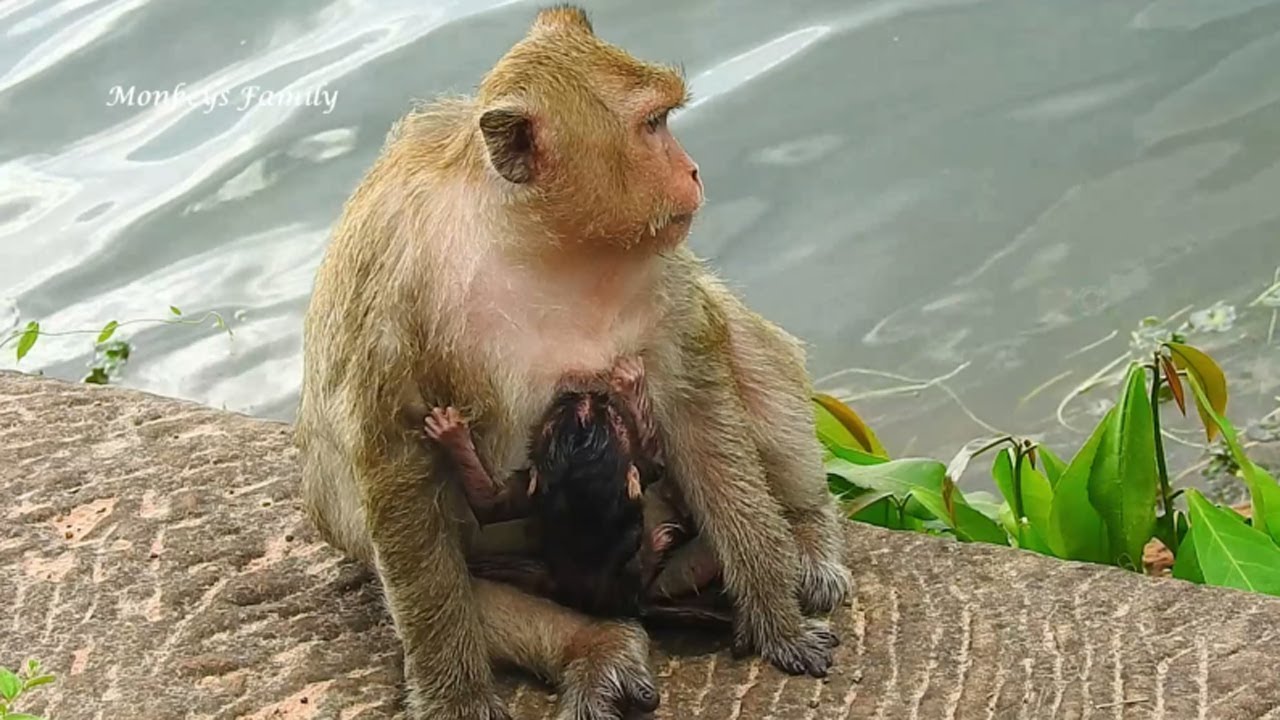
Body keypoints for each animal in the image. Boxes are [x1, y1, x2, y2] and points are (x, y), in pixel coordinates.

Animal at [295, 6, 850, 719]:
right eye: (652, 125)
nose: (694, 170)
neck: (535, 242)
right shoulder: (393, 299)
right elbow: (399, 467)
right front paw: (456, 697)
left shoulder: (654, 268)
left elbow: (696, 404)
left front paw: (777, 620)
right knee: (372, 529)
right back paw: (598, 646)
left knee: (740, 340)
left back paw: (801, 536)